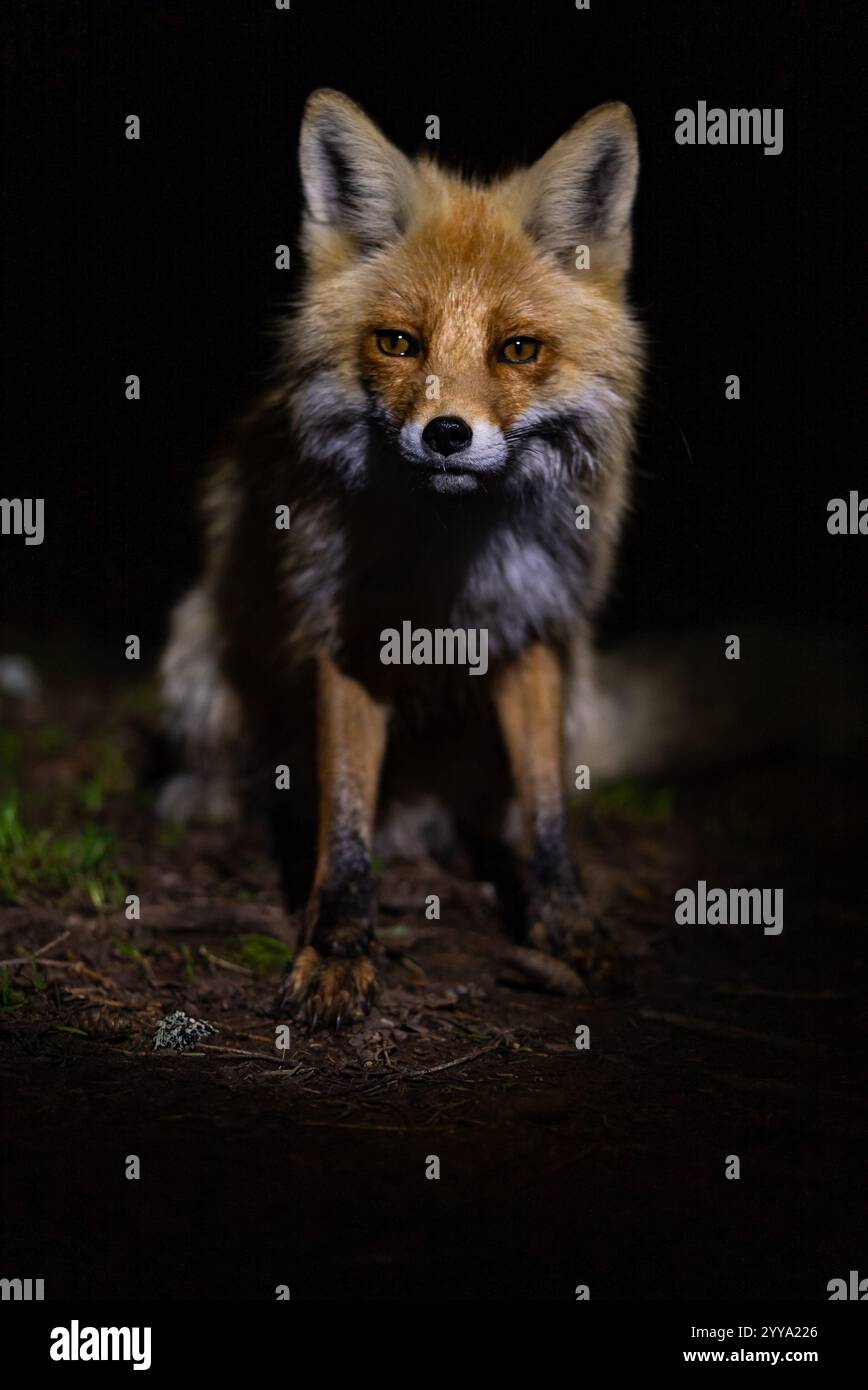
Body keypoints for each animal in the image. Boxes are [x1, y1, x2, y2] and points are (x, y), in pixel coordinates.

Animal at [158, 89, 645, 1026]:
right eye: (397, 343)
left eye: (517, 349)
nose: (446, 434)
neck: (446, 561)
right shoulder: (344, 637)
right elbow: (344, 826)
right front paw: (338, 951)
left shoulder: (534, 630)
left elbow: (547, 813)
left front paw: (566, 925)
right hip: (199, 649)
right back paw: (215, 805)